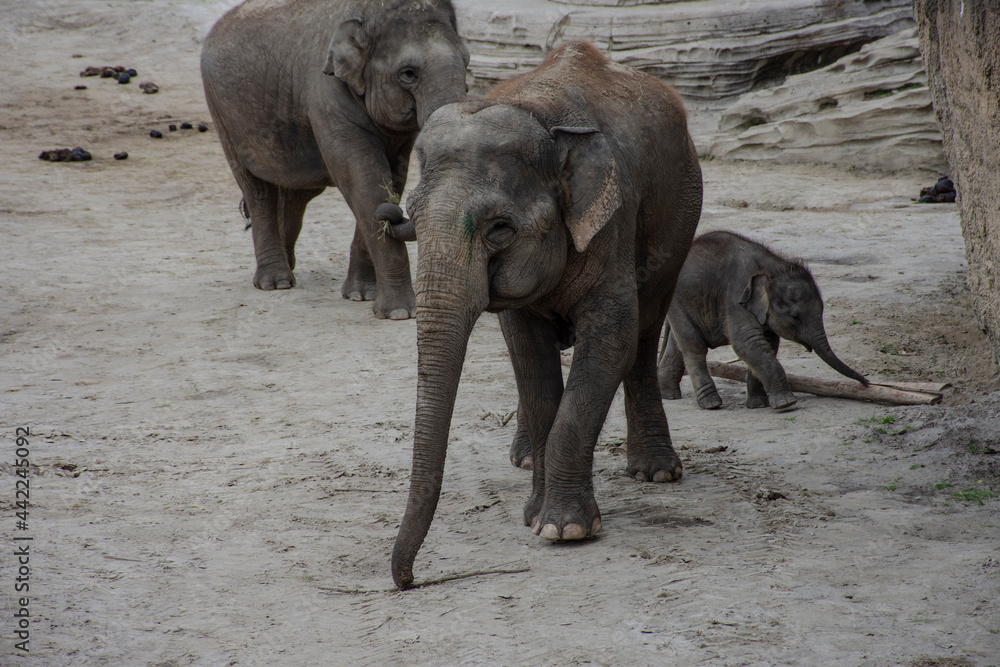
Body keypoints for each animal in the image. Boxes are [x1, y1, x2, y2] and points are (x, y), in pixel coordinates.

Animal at [200, 0, 469, 319]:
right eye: (408, 73)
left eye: (467, 62)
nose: (394, 213)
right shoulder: (327, 94)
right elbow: (363, 181)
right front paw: (399, 313)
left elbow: (393, 178)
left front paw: (361, 295)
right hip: (222, 112)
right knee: (257, 189)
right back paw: (275, 283)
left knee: (296, 193)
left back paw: (288, 267)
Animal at [391, 40, 704, 589]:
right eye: (412, 217)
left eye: (499, 228)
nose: (407, 581)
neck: (539, 114)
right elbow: (528, 357)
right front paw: (535, 516)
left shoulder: (613, 221)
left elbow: (612, 339)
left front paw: (564, 529)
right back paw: (523, 459)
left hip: (681, 214)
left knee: (644, 333)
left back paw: (657, 473)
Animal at [657, 230, 868, 410]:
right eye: (795, 317)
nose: (866, 382)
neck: (773, 265)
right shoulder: (735, 298)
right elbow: (747, 344)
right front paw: (786, 403)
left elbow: (768, 344)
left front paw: (758, 405)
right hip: (677, 299)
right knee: (693, 345)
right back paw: (711, 404)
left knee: (678, 344)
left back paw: (669, 394)